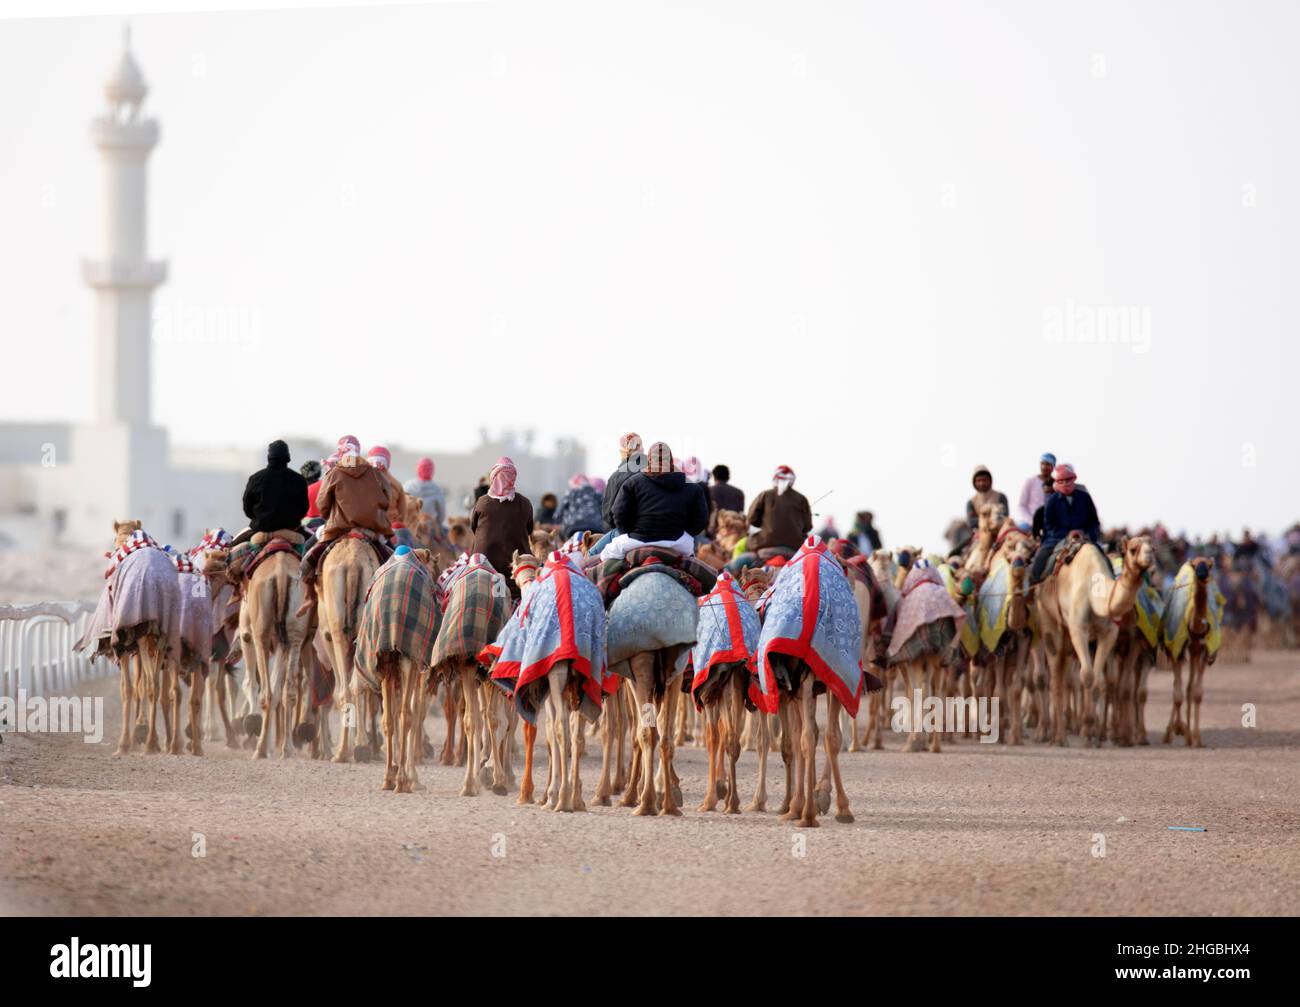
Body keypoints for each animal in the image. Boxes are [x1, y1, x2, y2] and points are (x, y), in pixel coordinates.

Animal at [1034, 535, 1154, 746]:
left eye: (1152, 547)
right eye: (1133, 549)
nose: (1148, 556)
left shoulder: (1108, 635)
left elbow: (1098, 681)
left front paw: (1093, 735)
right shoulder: (1078, 630)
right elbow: (1087, 676)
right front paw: (1088, 736)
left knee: (1062, 674)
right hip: (1048, 622)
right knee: (1054, 677)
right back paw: (1057, 737)